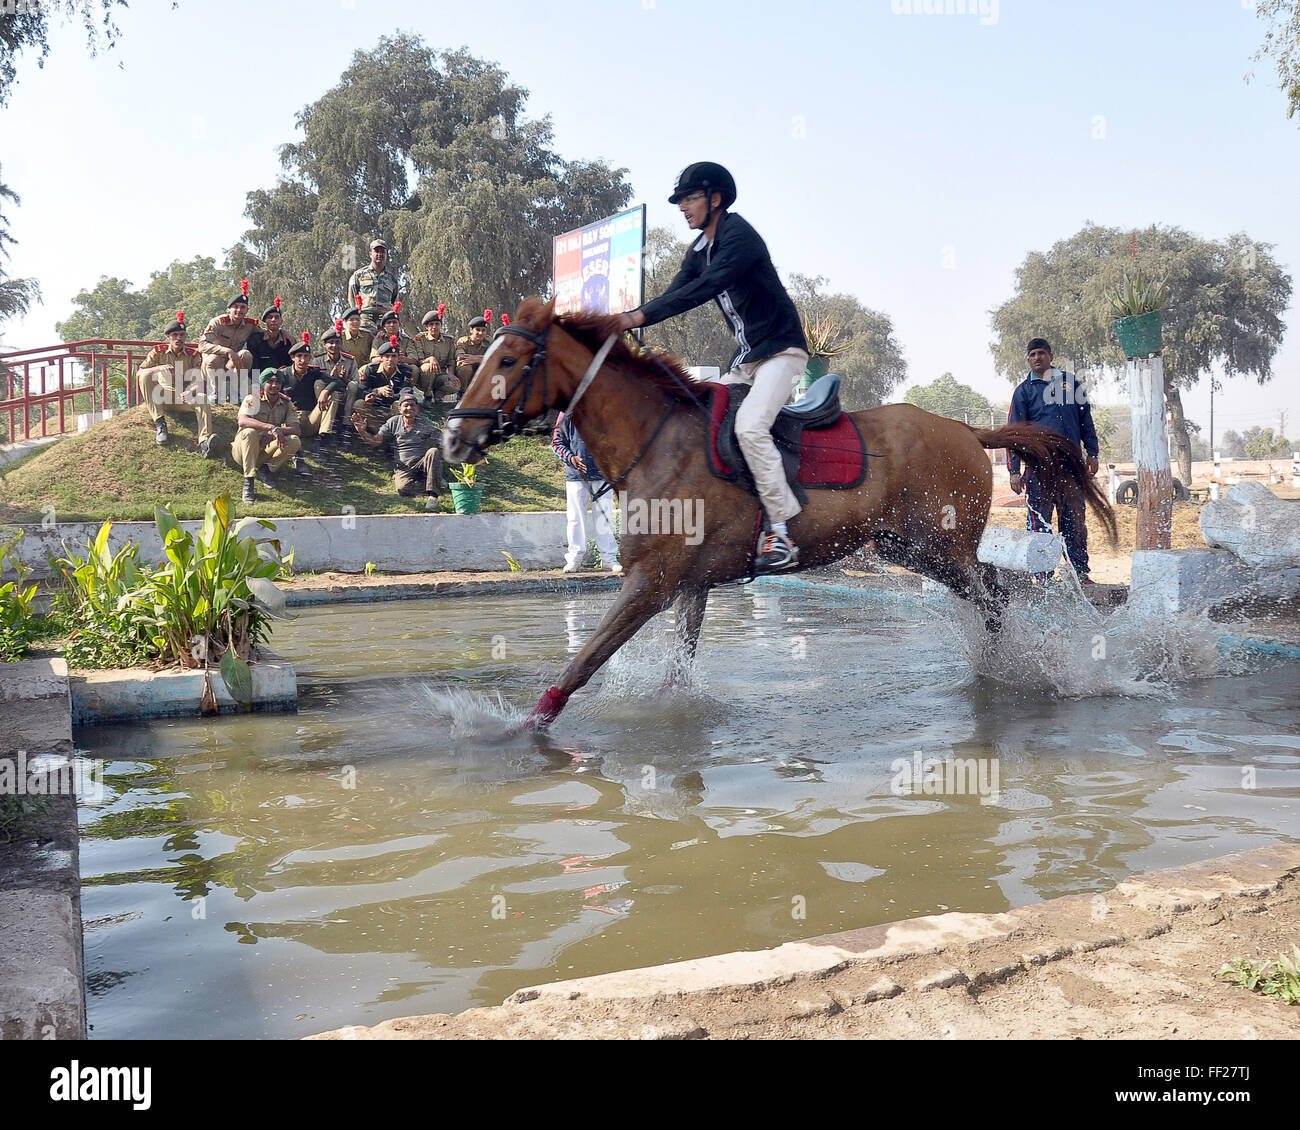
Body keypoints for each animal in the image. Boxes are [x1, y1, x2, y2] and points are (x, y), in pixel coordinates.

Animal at [444, 297, 1116, 729]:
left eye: (508, 362)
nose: (453, 438)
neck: (655, 440)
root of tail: (967, 429)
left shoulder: (651, 582)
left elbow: (583, 663)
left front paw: (519, 728)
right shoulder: (689, 585)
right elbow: (674, 670)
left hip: (936, 546)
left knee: (994, 593)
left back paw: (1016, 676)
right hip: (907, 548)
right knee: (995, 590)